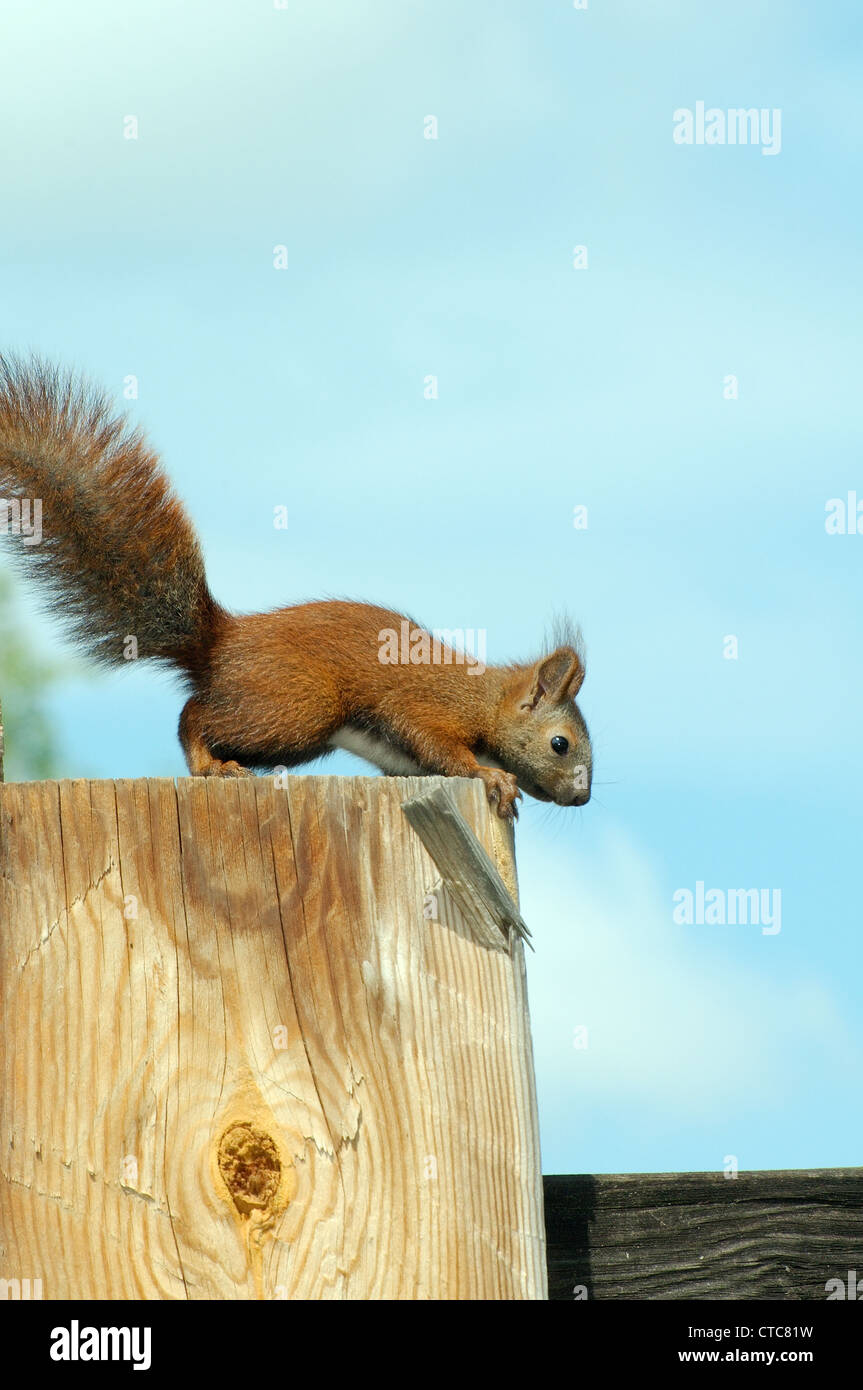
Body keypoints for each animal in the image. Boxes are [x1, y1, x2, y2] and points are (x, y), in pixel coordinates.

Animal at [0, 356, 592, 819]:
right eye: (560, 745)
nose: (582, 798)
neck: (485, 700)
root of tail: (218, 642)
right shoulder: (427, 709)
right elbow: (442, 747)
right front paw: (492, 778)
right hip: (297, 707)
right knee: (194, 715)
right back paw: (210, 765)